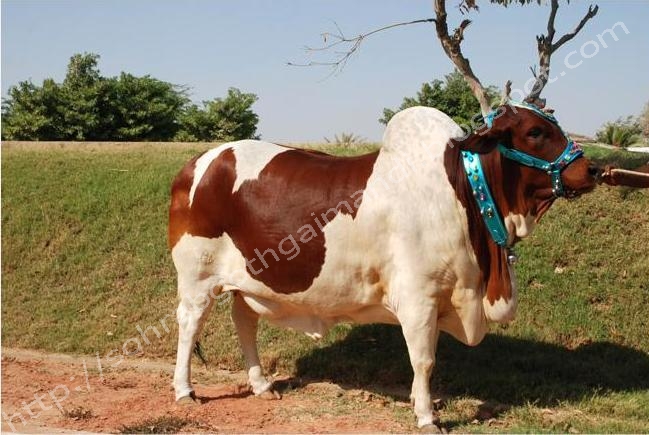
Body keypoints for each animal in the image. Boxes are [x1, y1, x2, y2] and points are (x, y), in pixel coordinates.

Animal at [168, 103, 599, 428]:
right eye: (535, 132)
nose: (592, 169)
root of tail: (199, 161)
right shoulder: (419, 296)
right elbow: (424, 359)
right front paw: (426, 416)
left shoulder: (440, 296)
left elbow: (428, 354)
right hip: (197, 276)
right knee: (189, 324)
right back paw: (185, 390)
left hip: (248, 281)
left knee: (245, 322)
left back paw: (261, 384)